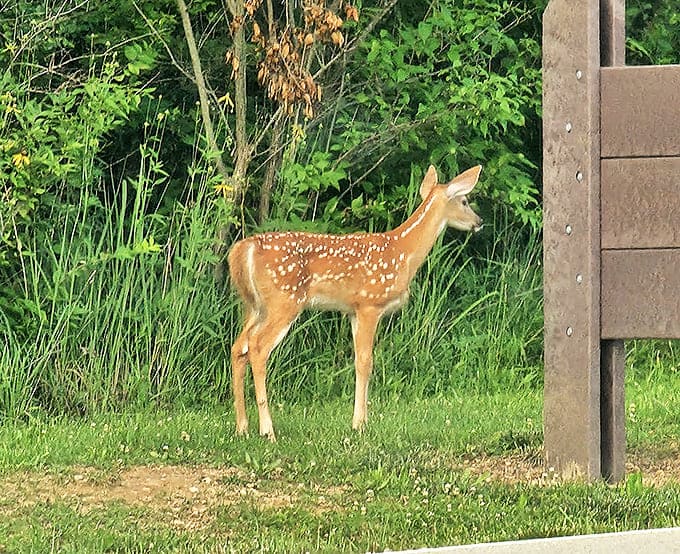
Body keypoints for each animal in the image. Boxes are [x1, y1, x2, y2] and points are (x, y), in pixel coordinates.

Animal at [228, 164, 483, 441]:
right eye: (465, 201)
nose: (479, 222)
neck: (403, 252)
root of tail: (243, 249)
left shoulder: (351, 311)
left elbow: (357, 361)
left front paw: (361, 420)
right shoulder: (370, 303)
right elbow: (365, 362)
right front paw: (359, 424)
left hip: (253, 305)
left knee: (238, 347)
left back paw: (242, 427)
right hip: (284, 300)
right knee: (257, 347)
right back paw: (267, 430)